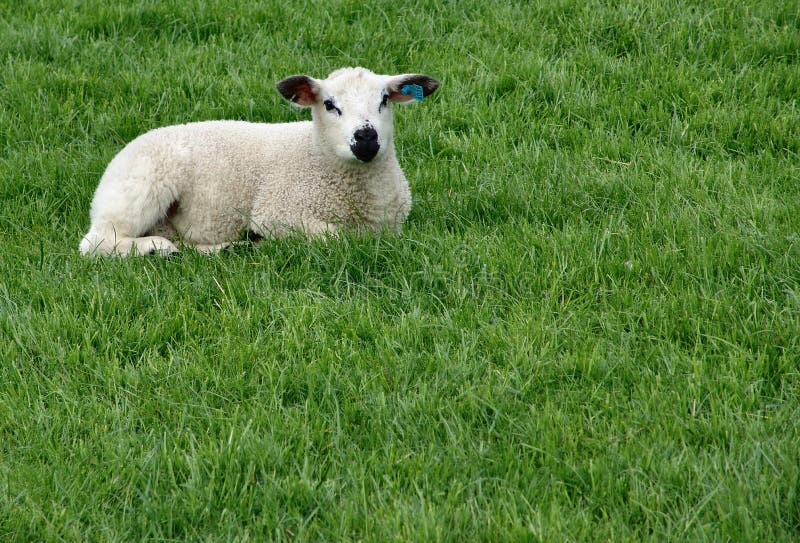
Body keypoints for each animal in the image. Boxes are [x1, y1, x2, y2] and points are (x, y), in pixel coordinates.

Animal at [78, 67, 440, 257]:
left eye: (384, 100)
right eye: (329, 104)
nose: (366, 138)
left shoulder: (392, 227)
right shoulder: (277, 212)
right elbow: (337, 237)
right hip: (141, 187)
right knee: (97, 242)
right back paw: (158, 248)